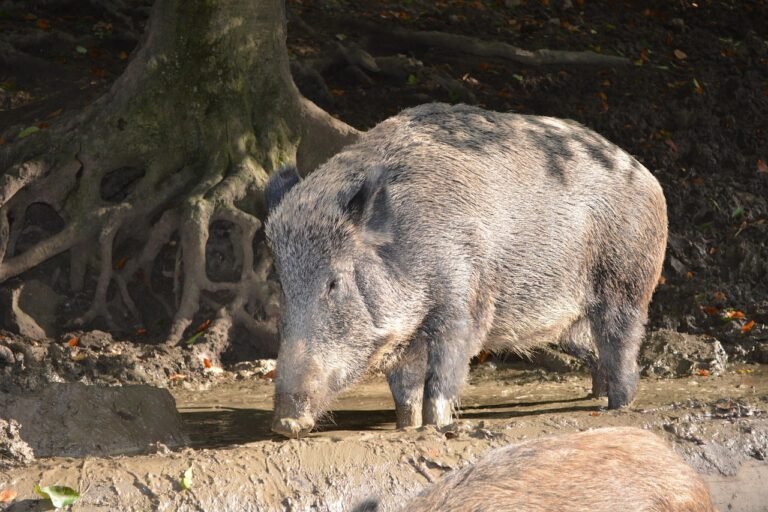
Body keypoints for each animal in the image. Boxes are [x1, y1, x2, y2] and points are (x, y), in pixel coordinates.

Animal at [265, 102, 668, 438]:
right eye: (282, 284)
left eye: (333, 283)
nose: (285, 423)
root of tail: (644, 173)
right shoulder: (405, 336)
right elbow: (404, 388)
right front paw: (406, 428)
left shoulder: (463, 305)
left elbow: (445, 373)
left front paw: (439, 427)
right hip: (572, 322)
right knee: (592, 349)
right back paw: (593, 396)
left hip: (627, 281)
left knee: (622, 342)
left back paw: (618, 405)